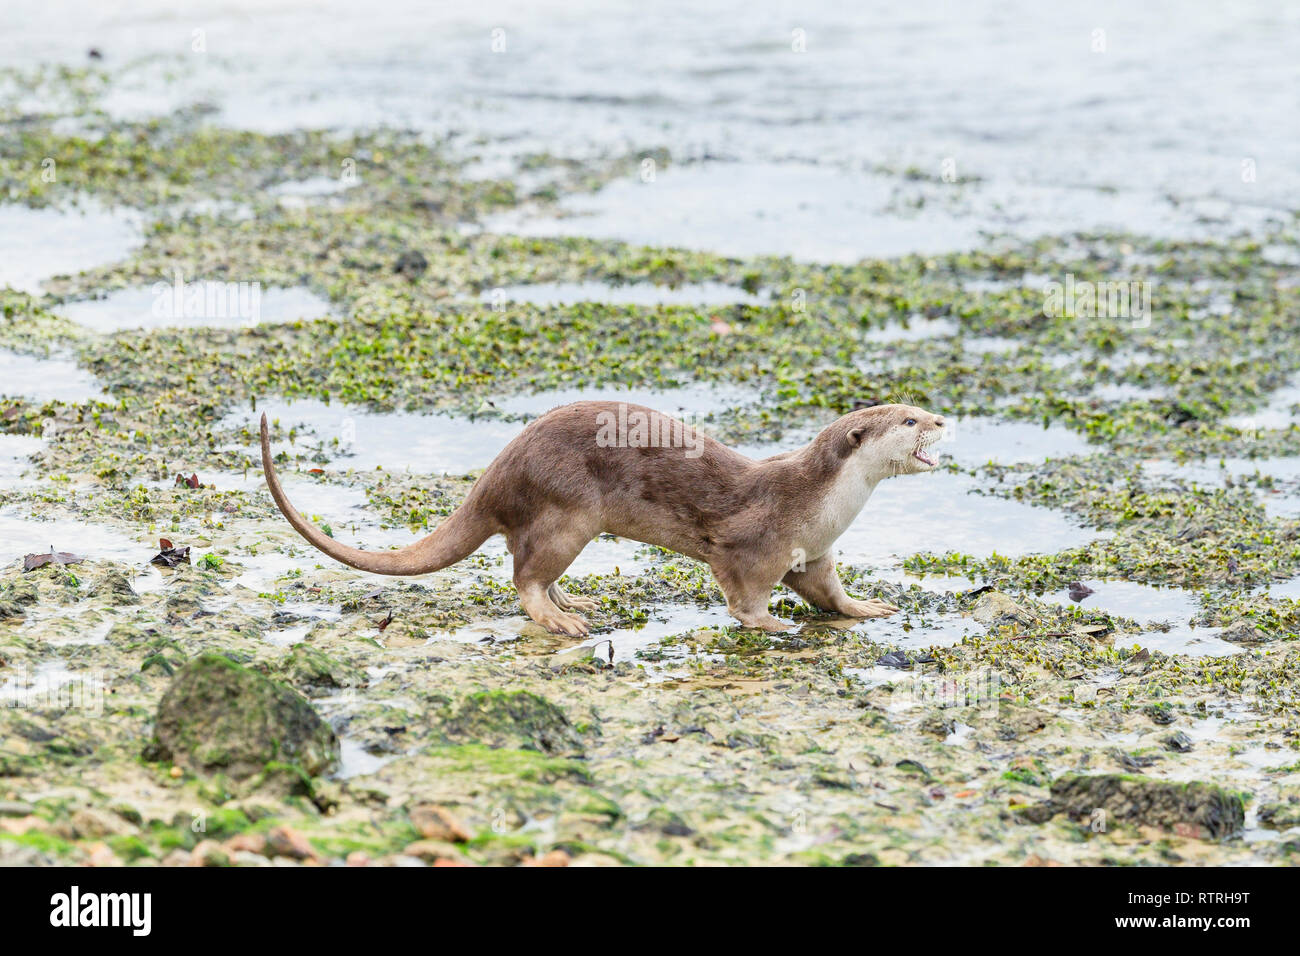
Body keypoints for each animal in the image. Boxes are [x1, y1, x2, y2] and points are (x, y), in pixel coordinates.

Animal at [260, 402, 946, 635]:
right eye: (909, 418)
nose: (942, 420)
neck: (820, 504)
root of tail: (496, 475)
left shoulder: (816, 552)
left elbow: (829, 591)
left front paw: (865, 607)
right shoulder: (751, 545)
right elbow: (742, 596)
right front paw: (771, 623)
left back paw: (575, 604)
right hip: (569, 511)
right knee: (523, 575)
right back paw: (560, 620)